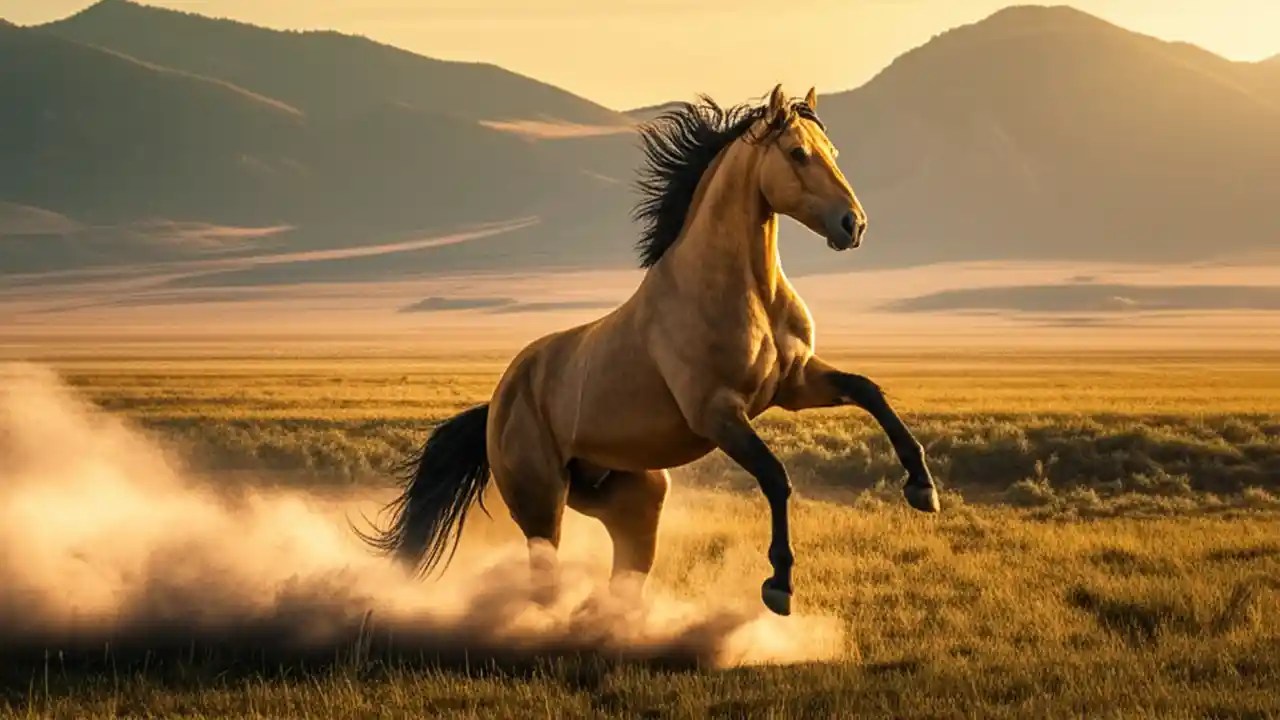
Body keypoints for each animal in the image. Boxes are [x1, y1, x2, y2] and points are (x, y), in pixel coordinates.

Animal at [356, 85, 939, 616]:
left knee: (625, 573)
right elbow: (776, 477)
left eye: (832, 151)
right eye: (797, 153)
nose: (853, 224)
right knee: (544, 575)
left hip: (634, 499)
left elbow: (868, 391)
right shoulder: (718, 413)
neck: (742, 290)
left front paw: (922, 488)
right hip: (542, 504)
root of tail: (498, 401)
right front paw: (779, 584)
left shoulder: (794, 384)